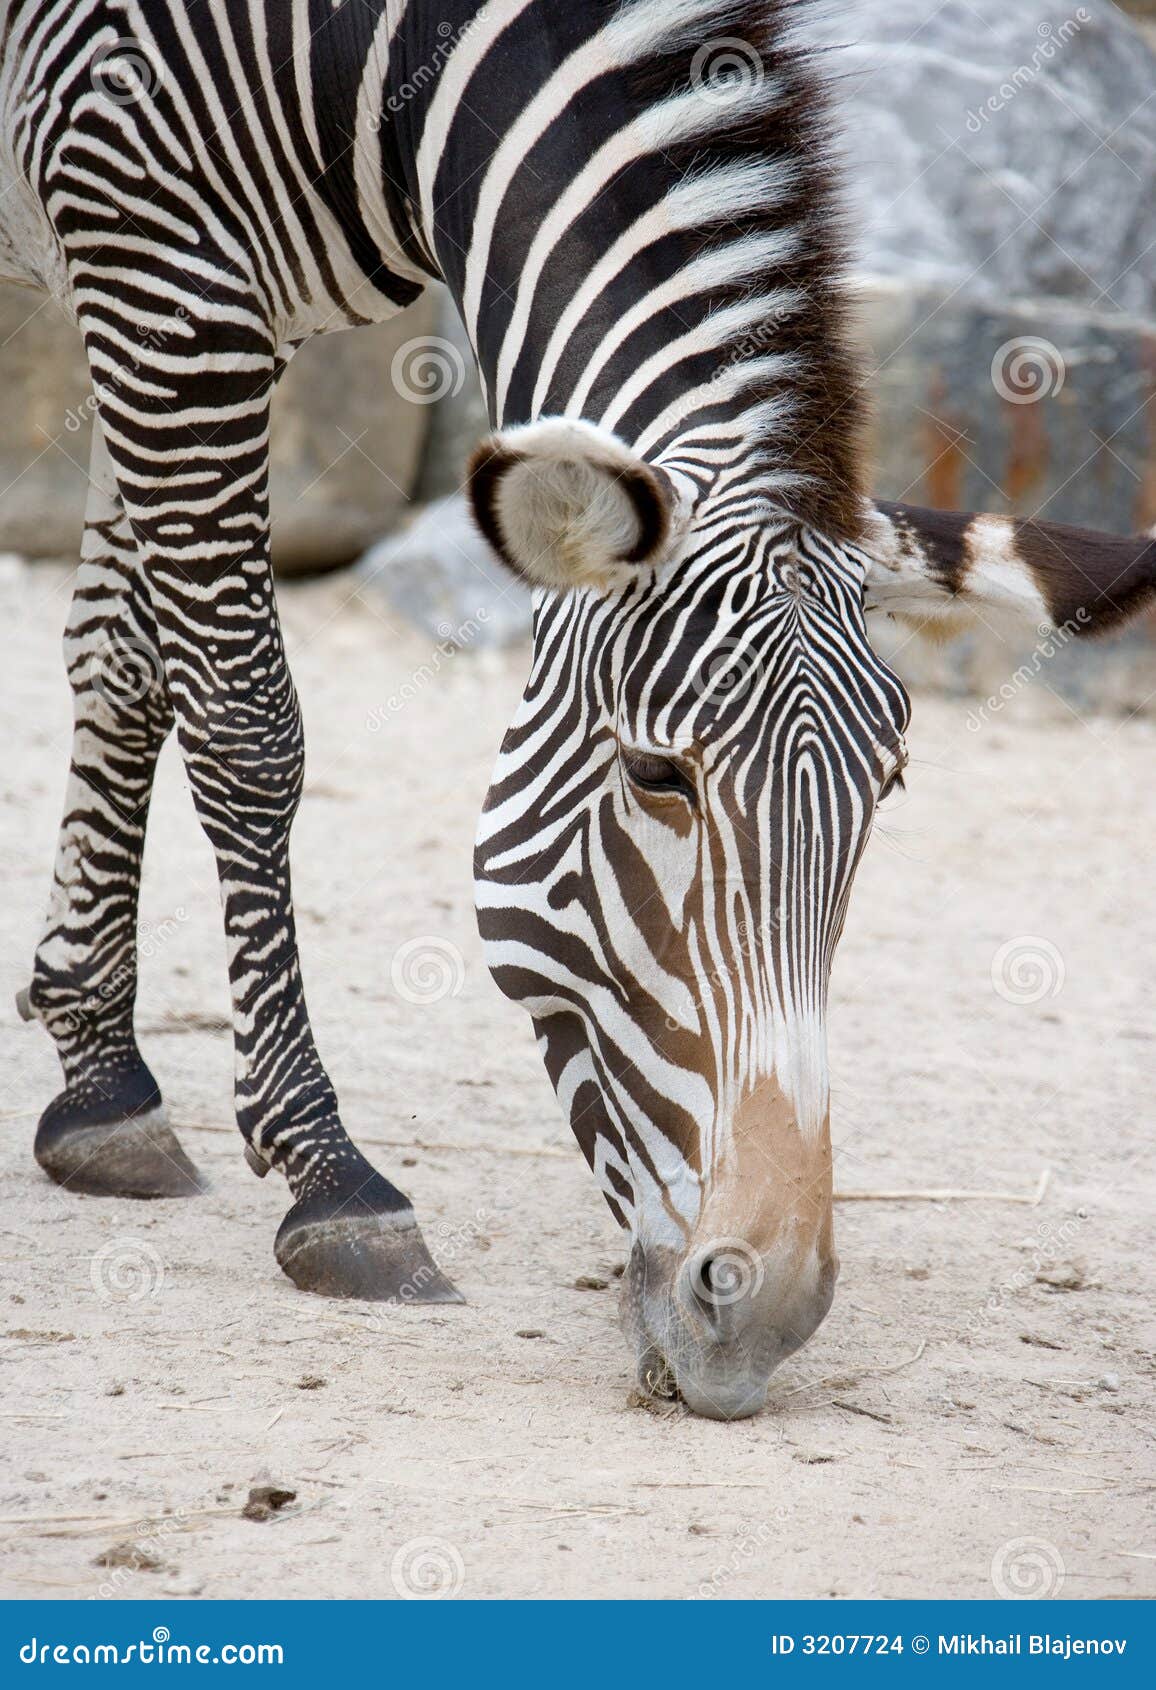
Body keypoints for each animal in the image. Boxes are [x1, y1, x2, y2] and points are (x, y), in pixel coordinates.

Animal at [2, 0, 1153, 1419]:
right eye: (659, 776)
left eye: (884, 794)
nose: (765, 1305)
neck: (373, 67)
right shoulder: (158, 263)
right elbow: (239, 709)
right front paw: (327, 1170)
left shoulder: (173, 305)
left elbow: (126, 658)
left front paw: (99, 1082)